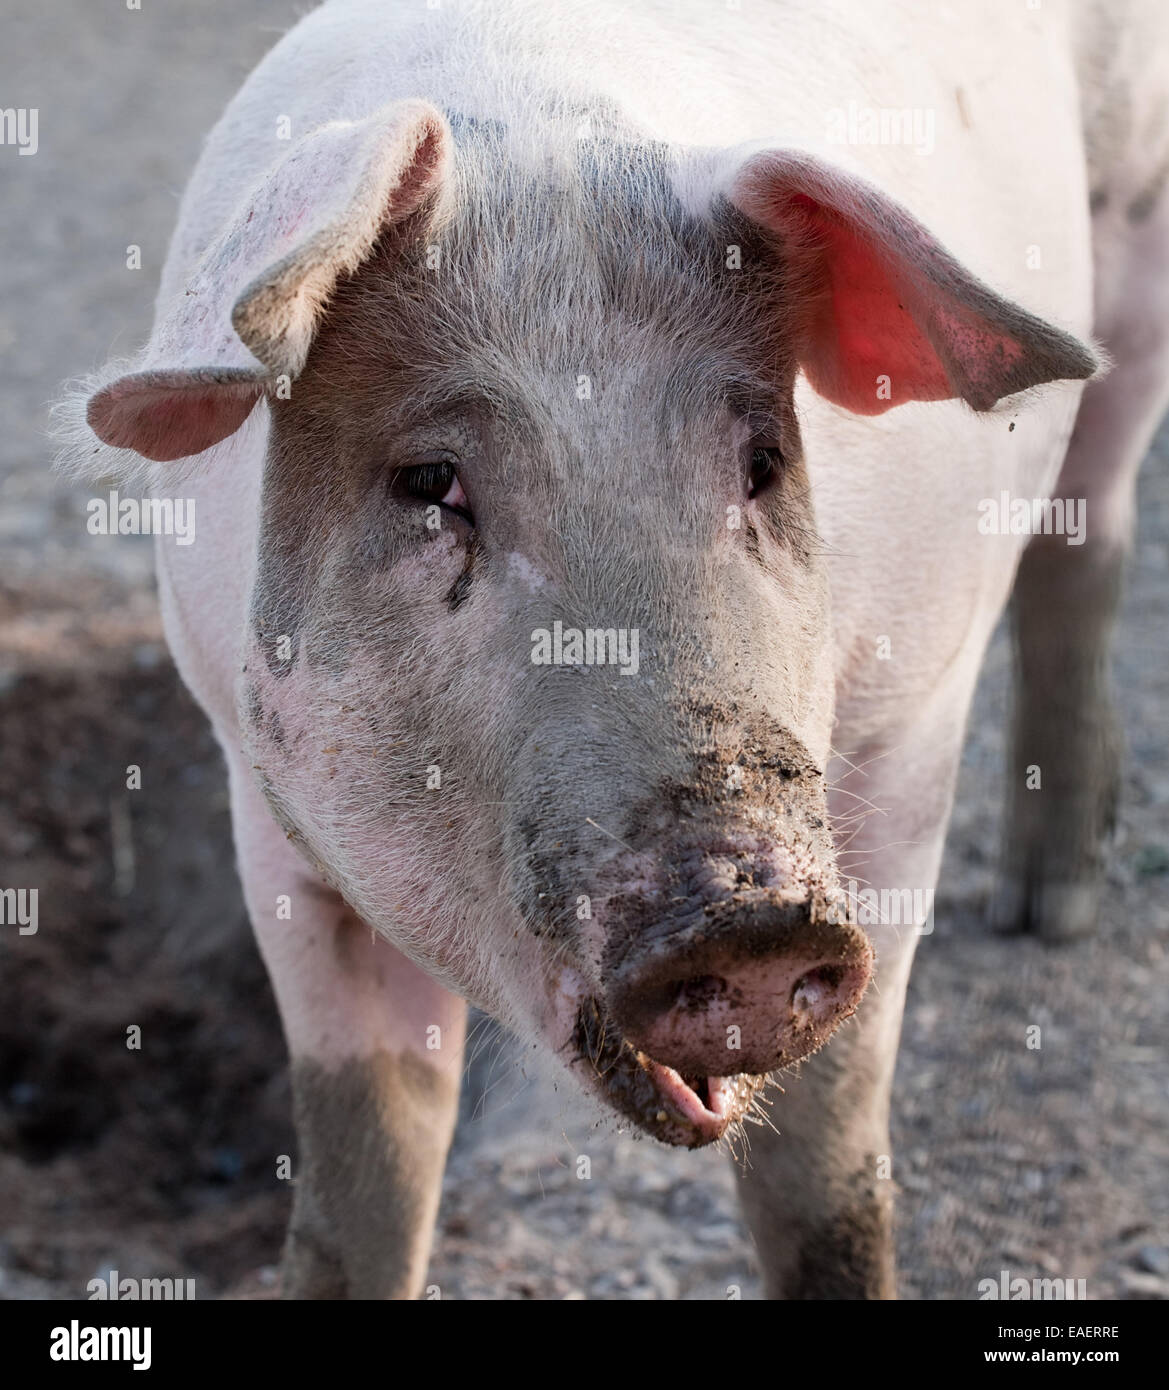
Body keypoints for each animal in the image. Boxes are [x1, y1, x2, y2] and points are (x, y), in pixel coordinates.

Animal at [57, 0, 1169, 1298]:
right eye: (429, 483)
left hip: (1134, 228)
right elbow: (368, 1166)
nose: (748, 916)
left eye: (761, 464)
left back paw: (1049, 910)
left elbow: (822, 1158)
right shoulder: (259, 792)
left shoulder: (907, 730)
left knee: (1087, 534)